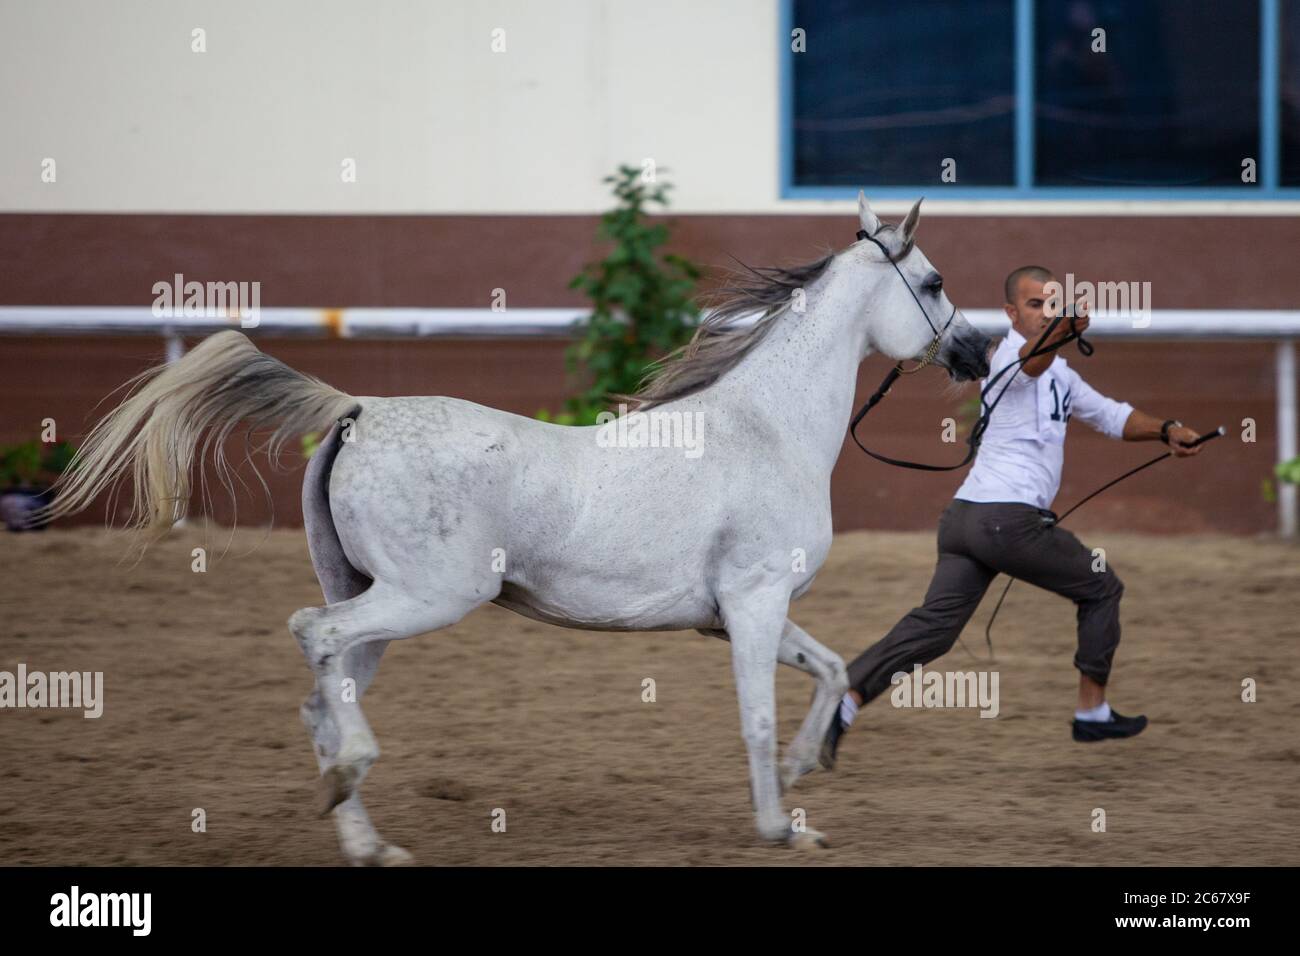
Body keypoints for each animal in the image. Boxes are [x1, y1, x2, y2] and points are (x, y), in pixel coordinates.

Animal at [46, 194, 992, 864]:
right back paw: (353, 775)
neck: (764, 427)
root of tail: (360, 410)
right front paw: (776, 825)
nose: (977, 354)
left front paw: (803, 783)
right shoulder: (755, 605)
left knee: (323, 690)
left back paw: (368, 839)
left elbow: (830, 670)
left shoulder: (739, 611)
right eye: (936, 283)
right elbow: (757, 717)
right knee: (312, 639)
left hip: (379, 604)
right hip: (424, 597)